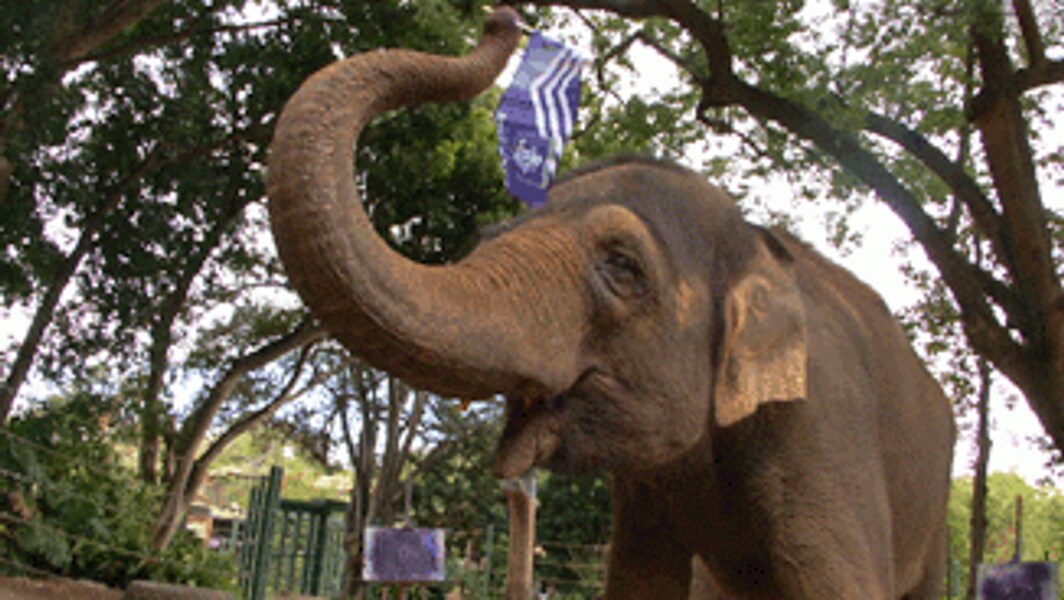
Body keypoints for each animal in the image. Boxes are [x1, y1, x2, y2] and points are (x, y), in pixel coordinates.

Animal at [266, 7, 955, 599]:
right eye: (491, 234)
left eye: (623, 266)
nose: (501, 19)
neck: (758, 245)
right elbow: (640, 584)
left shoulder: (823, 431)